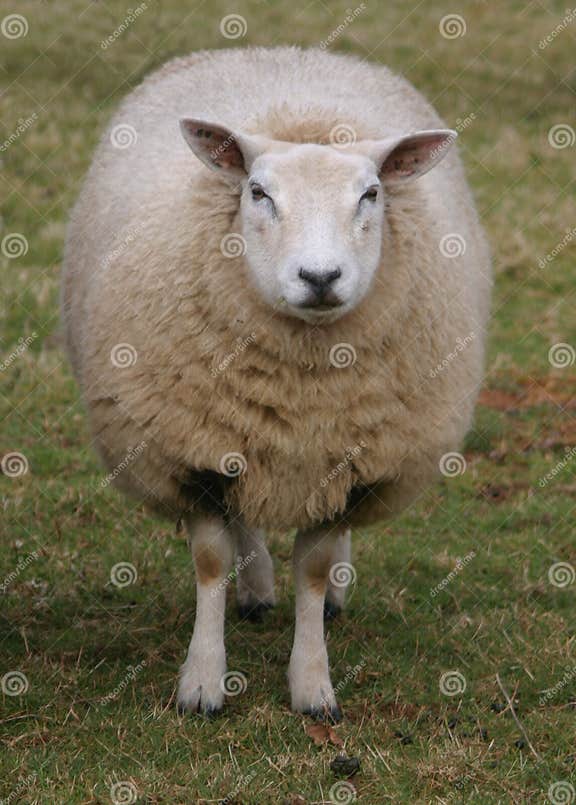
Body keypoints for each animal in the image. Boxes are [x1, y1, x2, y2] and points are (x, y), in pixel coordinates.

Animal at [61, 46, 491, 720]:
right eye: (257, 192)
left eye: (371, 193)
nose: (320, 276)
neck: (300, 389)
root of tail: (278, 52)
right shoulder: (196, 450)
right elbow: (211, 561)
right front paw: (202, 683)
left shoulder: (346, 463)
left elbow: (312, 569)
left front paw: (313, 687)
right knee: (247, 521)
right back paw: (257, 588)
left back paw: (330, 591)